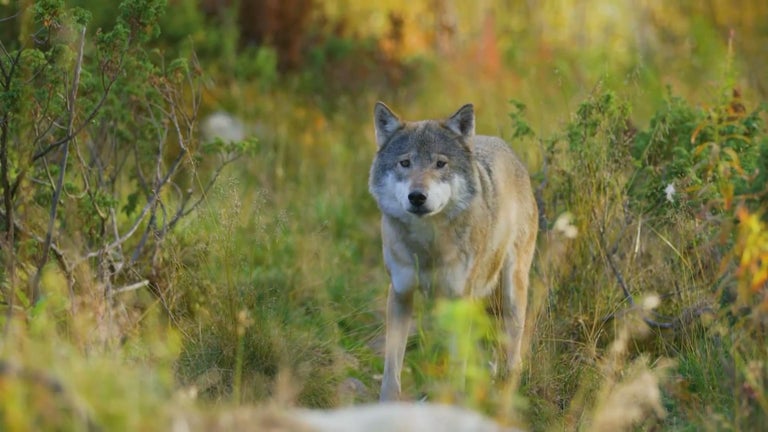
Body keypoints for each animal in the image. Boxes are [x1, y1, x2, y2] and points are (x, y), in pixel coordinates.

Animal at [369, 102, 538, 401]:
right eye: (405, 163)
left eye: (440, 163)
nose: (417, 196)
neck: (428, 246)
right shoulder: (400, 294)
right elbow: (392, 367)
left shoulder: (460, 299)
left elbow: (458, 364)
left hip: (510, 292)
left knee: (512, 354)